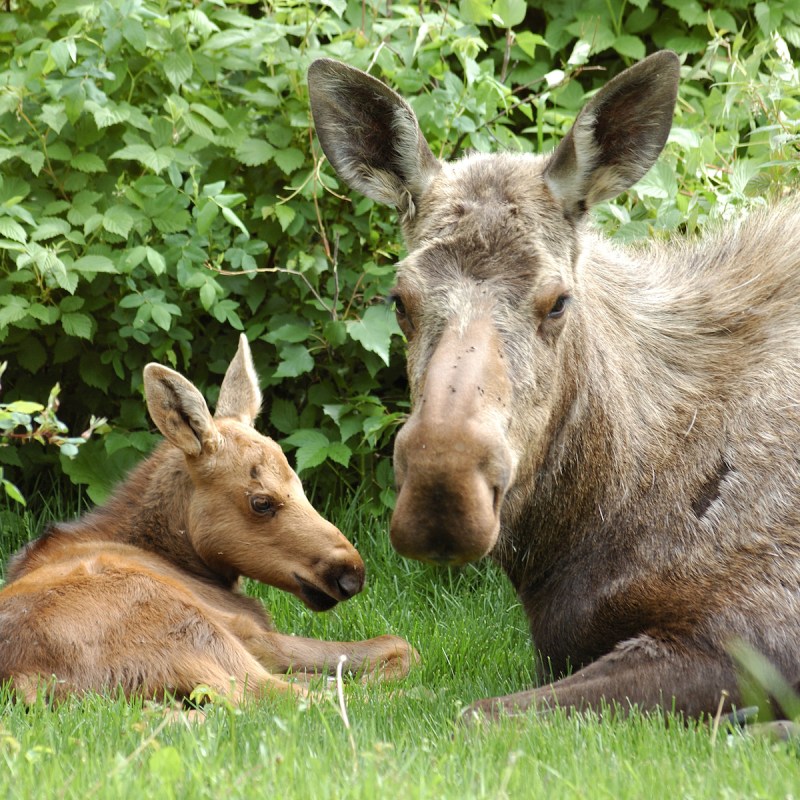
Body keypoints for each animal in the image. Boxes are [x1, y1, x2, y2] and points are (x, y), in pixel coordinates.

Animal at [0, 335, 416, 704]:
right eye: (261, 502)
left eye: (299, 484)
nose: (351, 573)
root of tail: (28, 681)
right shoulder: (252, 632)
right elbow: (398, 644)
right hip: (198, 631)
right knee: (284, 699)